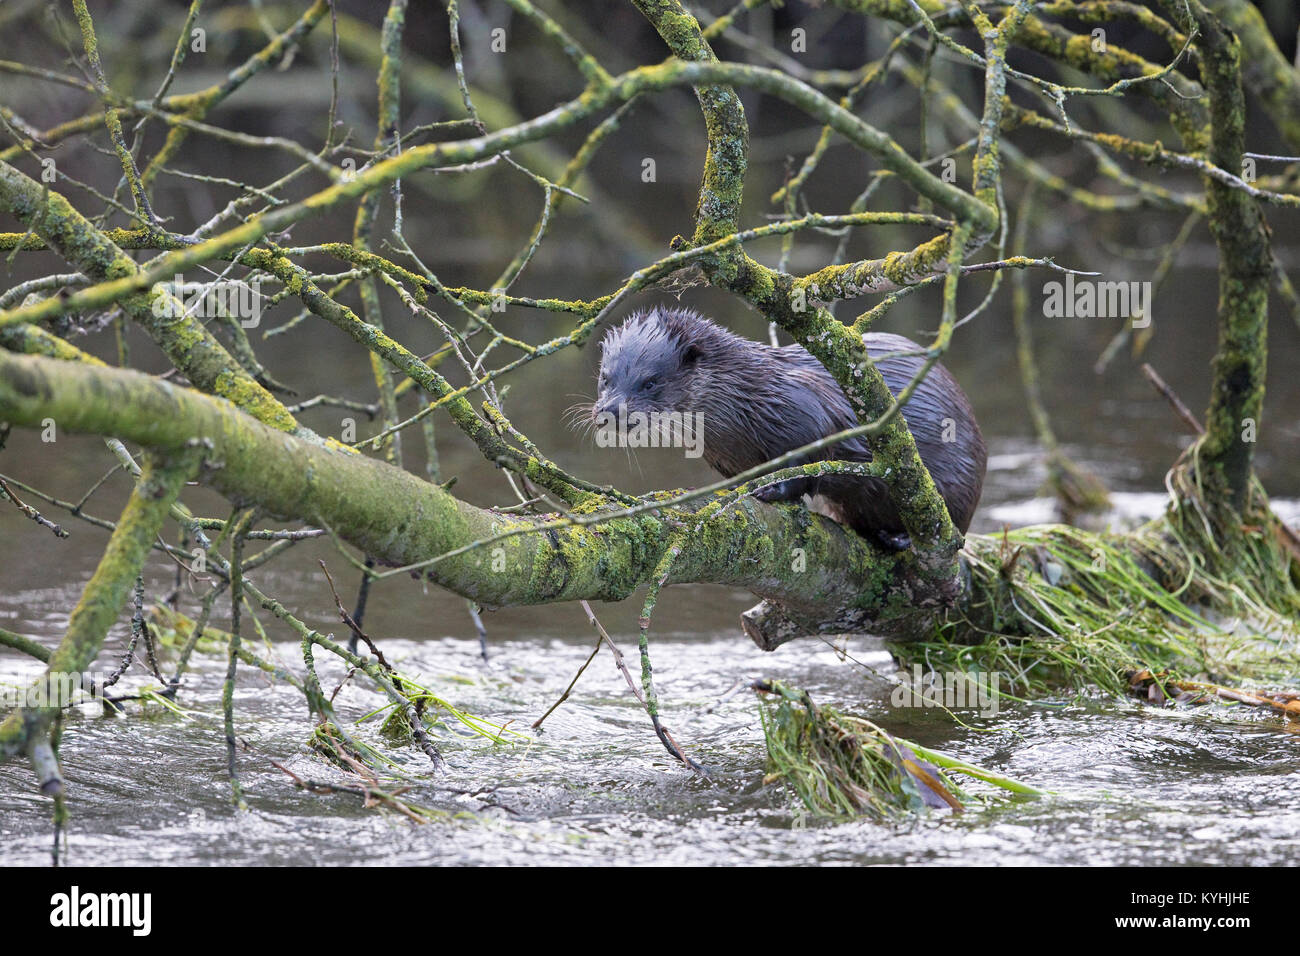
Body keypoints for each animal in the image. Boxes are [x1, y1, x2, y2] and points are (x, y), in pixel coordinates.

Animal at [590, 306, 986, 545]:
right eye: (606, 377)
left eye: (650, 382)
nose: (609, 410)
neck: (750, 400)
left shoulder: (807, 413)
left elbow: (805, 466)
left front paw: (770, 491)